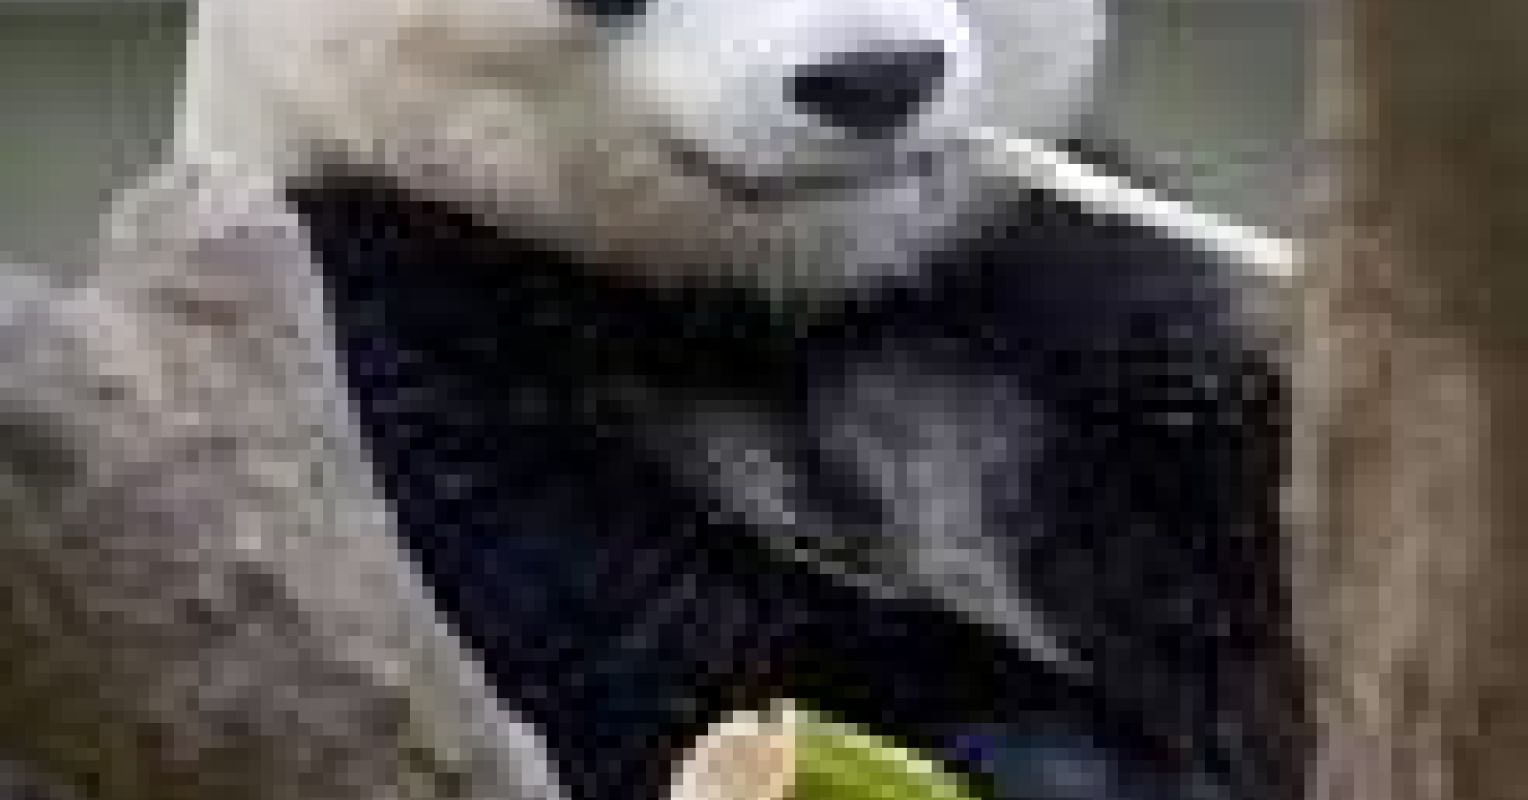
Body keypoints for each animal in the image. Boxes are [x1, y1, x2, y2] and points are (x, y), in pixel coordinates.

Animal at [170, 1, 1304, 800]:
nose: (876, 77)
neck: (768, 307)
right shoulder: (351, 328)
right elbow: (629, 635)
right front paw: (1049, 756)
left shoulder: (1045, 297)